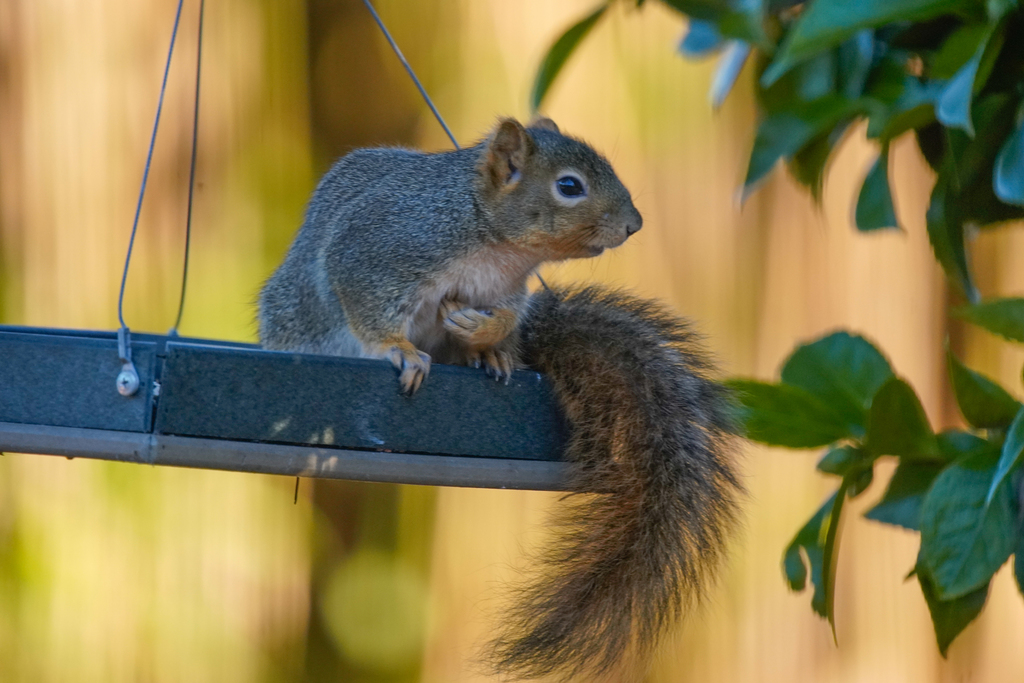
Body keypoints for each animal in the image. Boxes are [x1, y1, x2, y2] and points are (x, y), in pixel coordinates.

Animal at [258, 116, 741, 680]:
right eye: (569, 186)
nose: (634, 225)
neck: (498, 245)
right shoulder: (381, 249)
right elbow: (366, 302)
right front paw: (400, 350)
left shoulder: (507, 289)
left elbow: (508, 315)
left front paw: (487, 336)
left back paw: (491, 357)